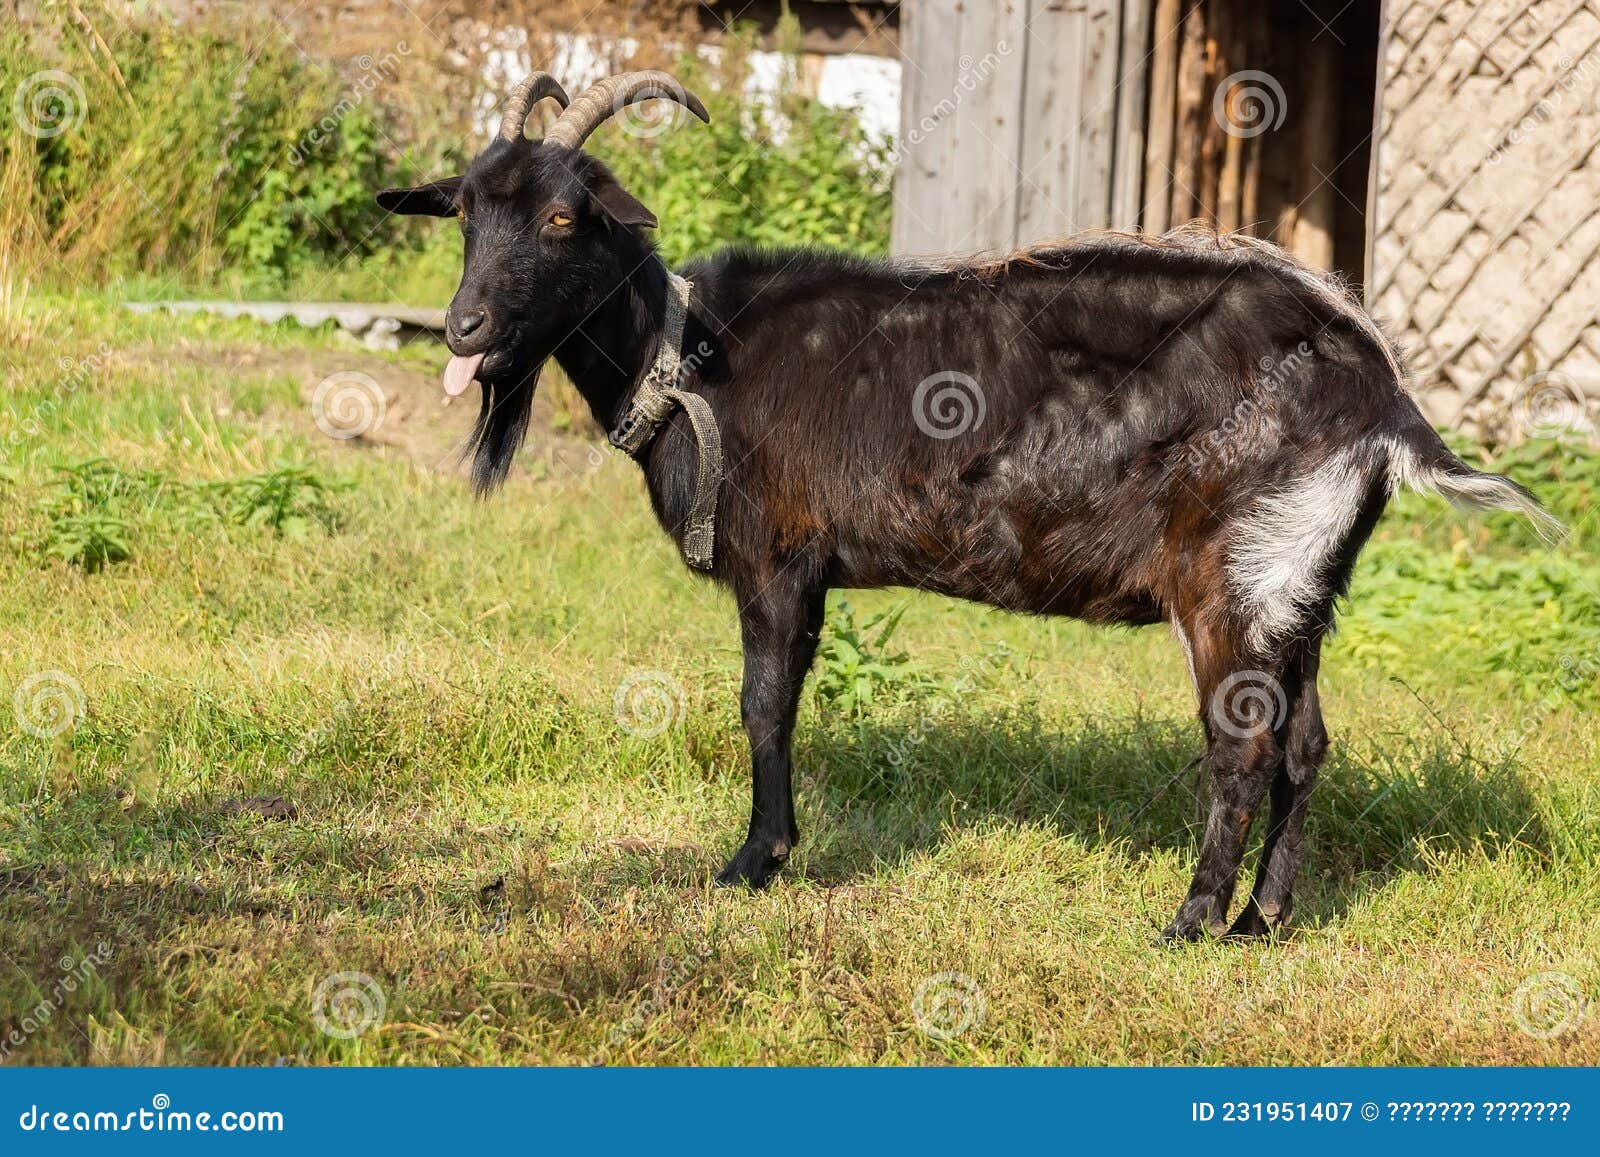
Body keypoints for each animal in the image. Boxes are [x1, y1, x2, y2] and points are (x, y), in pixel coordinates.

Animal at [377, 70, 1561, 940]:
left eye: (563, 217)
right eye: (466, 214)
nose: (465, 327)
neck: (686, 355)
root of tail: (1383, 399)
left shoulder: (780, 556)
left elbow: (764, 705)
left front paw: (753, 861)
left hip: (1229, 579)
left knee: (1244, 746)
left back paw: (1188, 920)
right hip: (1299, 583)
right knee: (1308, 744)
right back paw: (1264, 920)